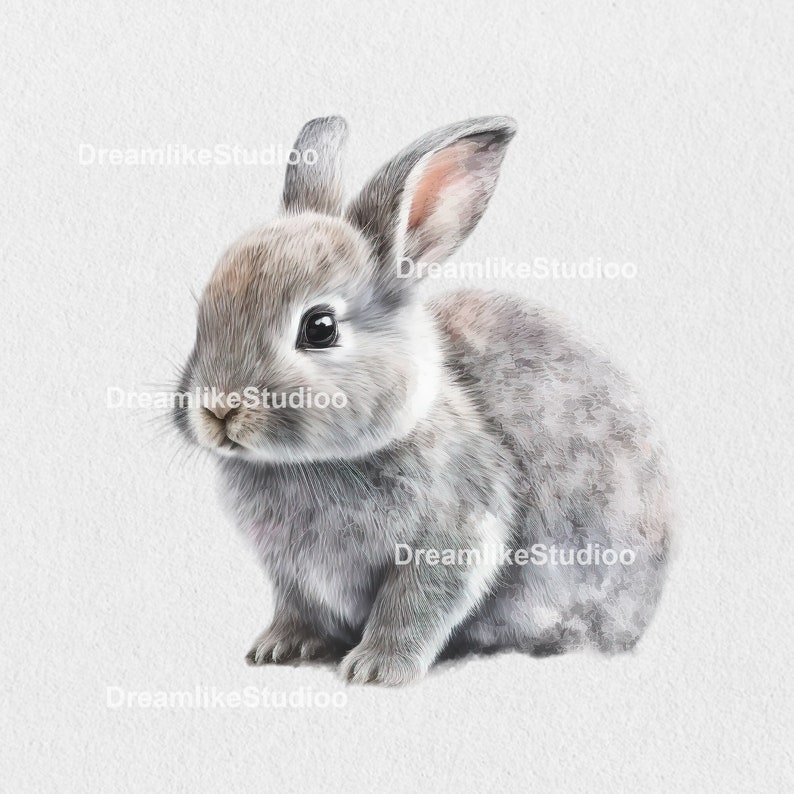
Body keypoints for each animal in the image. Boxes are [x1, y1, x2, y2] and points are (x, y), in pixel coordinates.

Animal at [173, 115, 670, 686]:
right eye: (203, 317)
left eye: (319, 328)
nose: (218, 408)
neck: (313, 463)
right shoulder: (292, 575)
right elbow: (298, 607)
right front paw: (277, 647)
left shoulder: (454, 534)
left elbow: (411, 605)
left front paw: (376, 669)